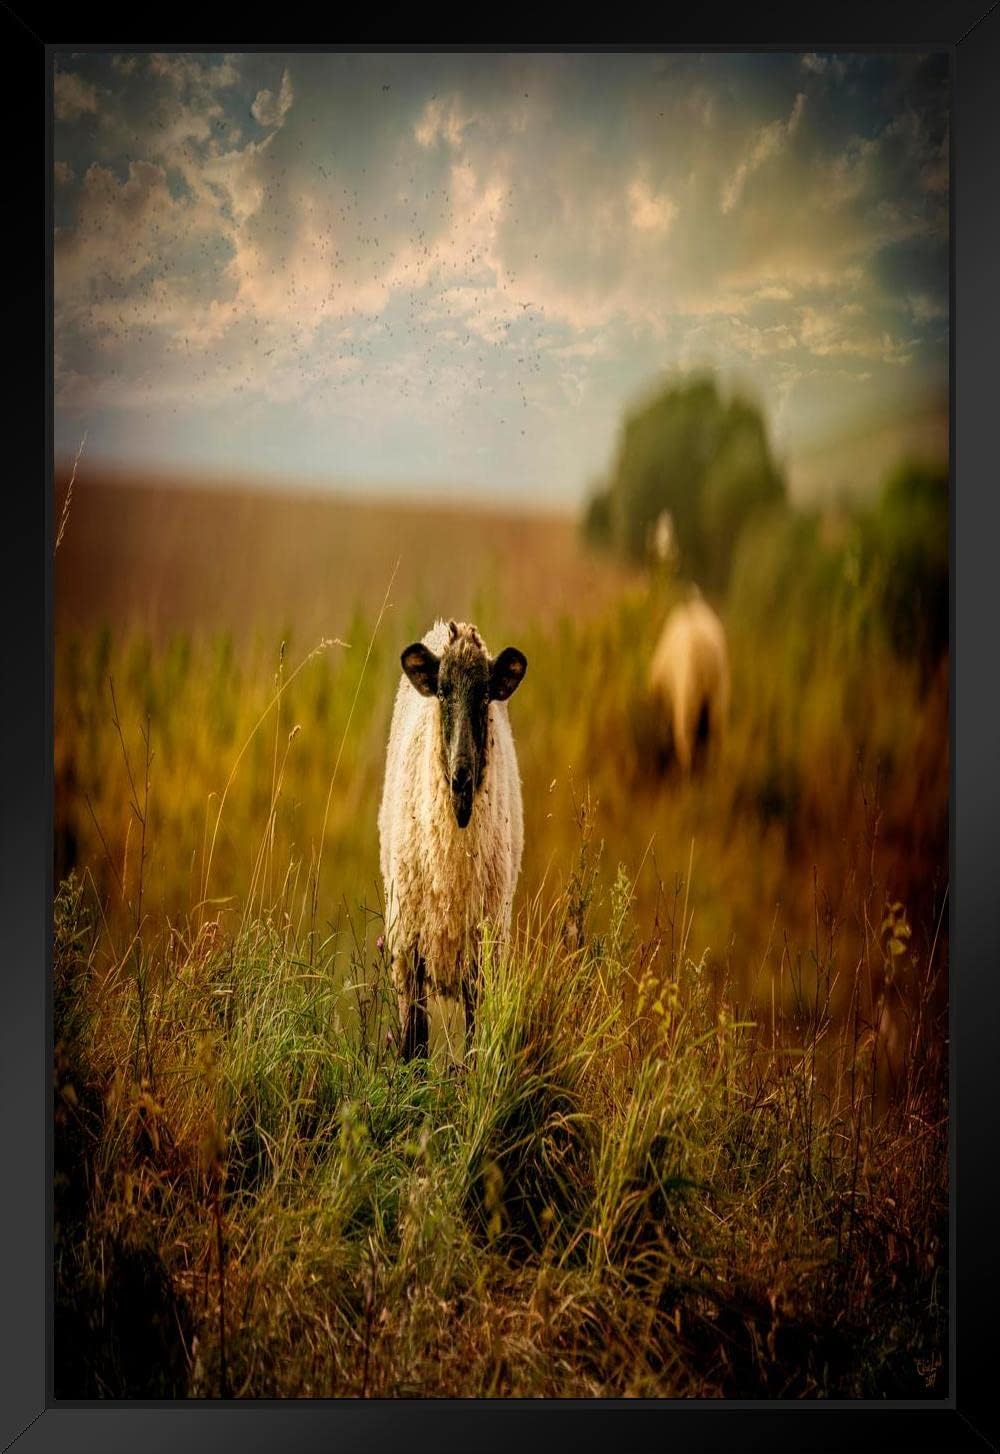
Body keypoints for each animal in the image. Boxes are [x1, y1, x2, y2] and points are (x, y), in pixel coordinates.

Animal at [378, 618, 527, 1059]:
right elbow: (415, 1048)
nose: (461, 775)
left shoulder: (483, 957)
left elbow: (477, 1044)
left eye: (485, 695)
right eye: (443, 691)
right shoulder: (407, 953)